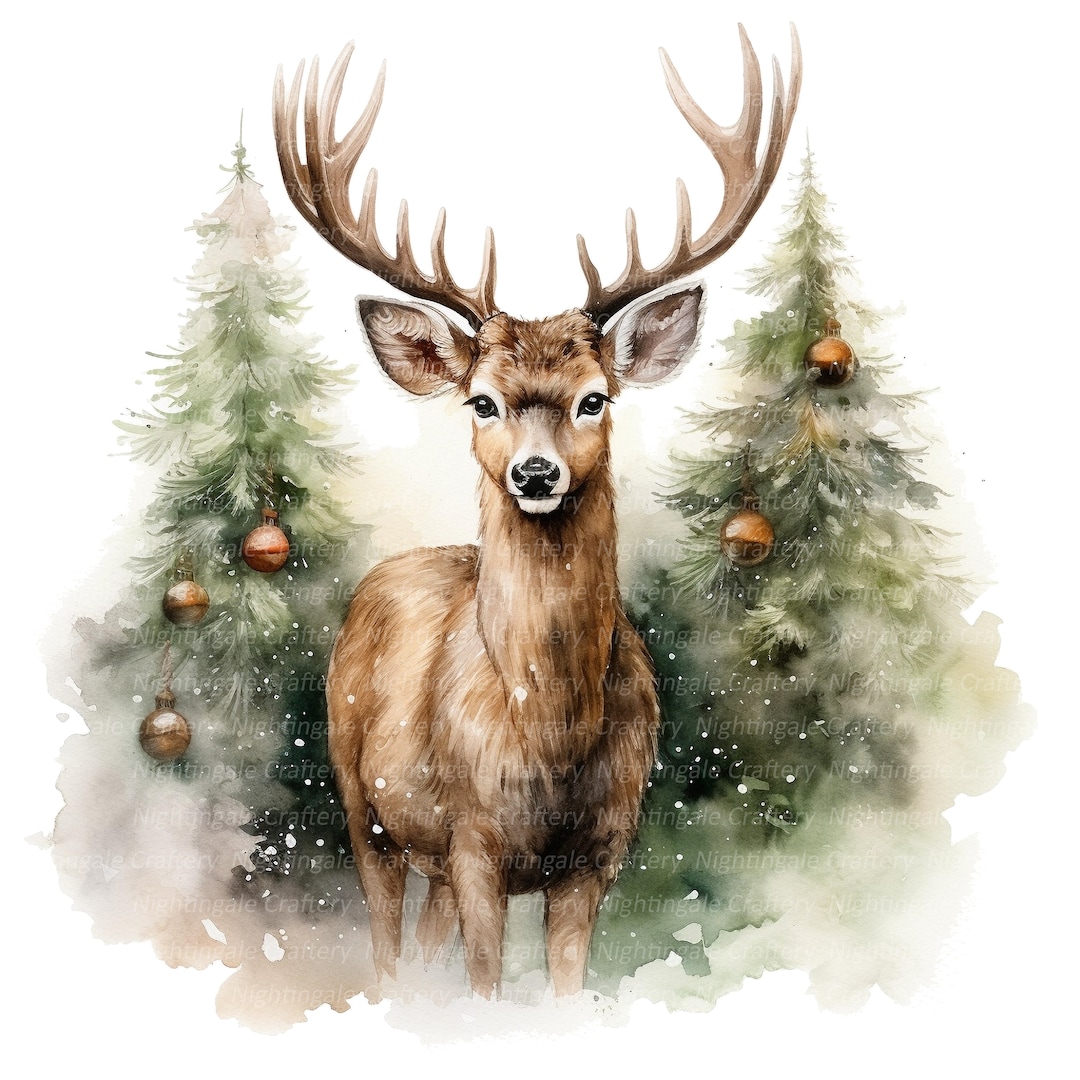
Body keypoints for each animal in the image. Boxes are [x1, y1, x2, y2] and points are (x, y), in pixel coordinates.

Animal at [273, 26, 801, 999]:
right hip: (364, 806)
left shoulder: (597, 853)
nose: (534, 472)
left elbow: (562, 991)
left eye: (596, 398)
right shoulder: (475, 838)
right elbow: (484, 984)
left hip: (430, 854)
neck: (549, 734)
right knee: (389, 942)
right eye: (481, 400)